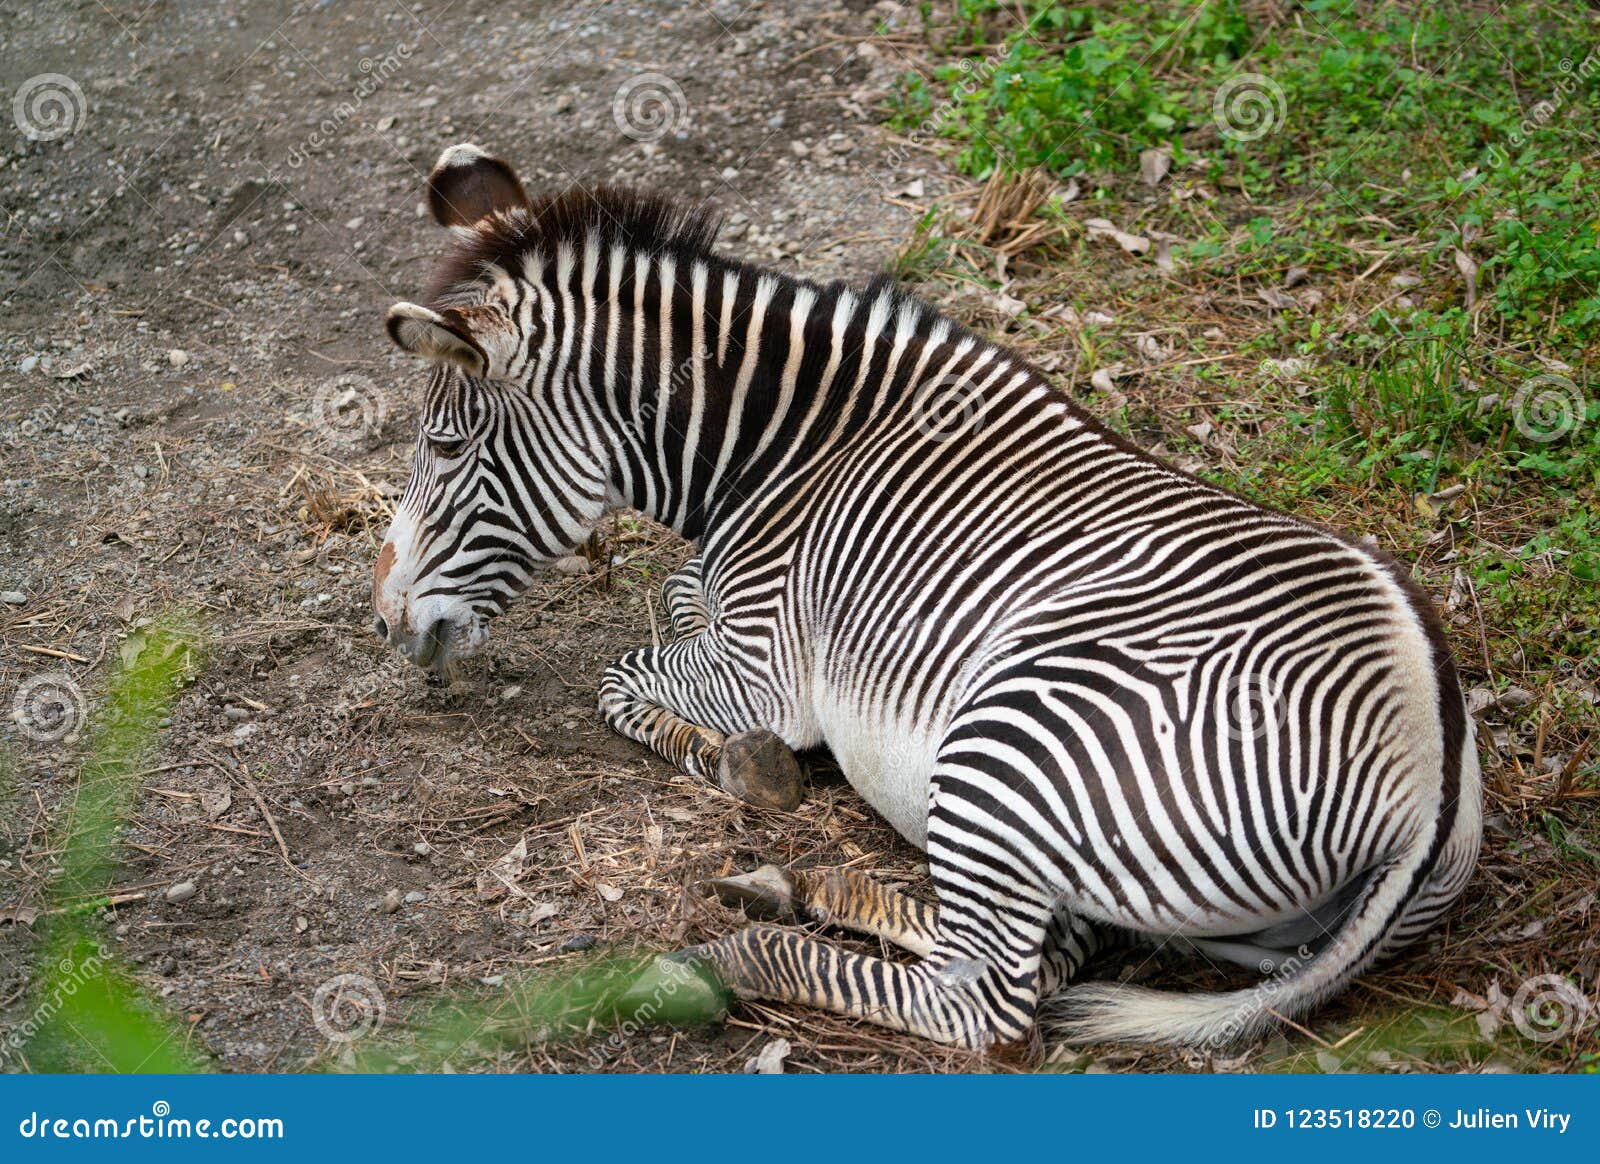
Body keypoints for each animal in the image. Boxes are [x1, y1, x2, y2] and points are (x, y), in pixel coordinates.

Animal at [370, 143, 1482, 1054]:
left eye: (445, 447)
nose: (385, 622)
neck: (790, 448)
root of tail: (1425, 776)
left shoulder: (767, 669)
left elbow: (624, 671)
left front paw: (742, 763)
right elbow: (682, 594)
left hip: (1013, 744)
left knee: (985, 1004)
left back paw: (700, 966)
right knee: (1023, 946)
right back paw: (789, 883)